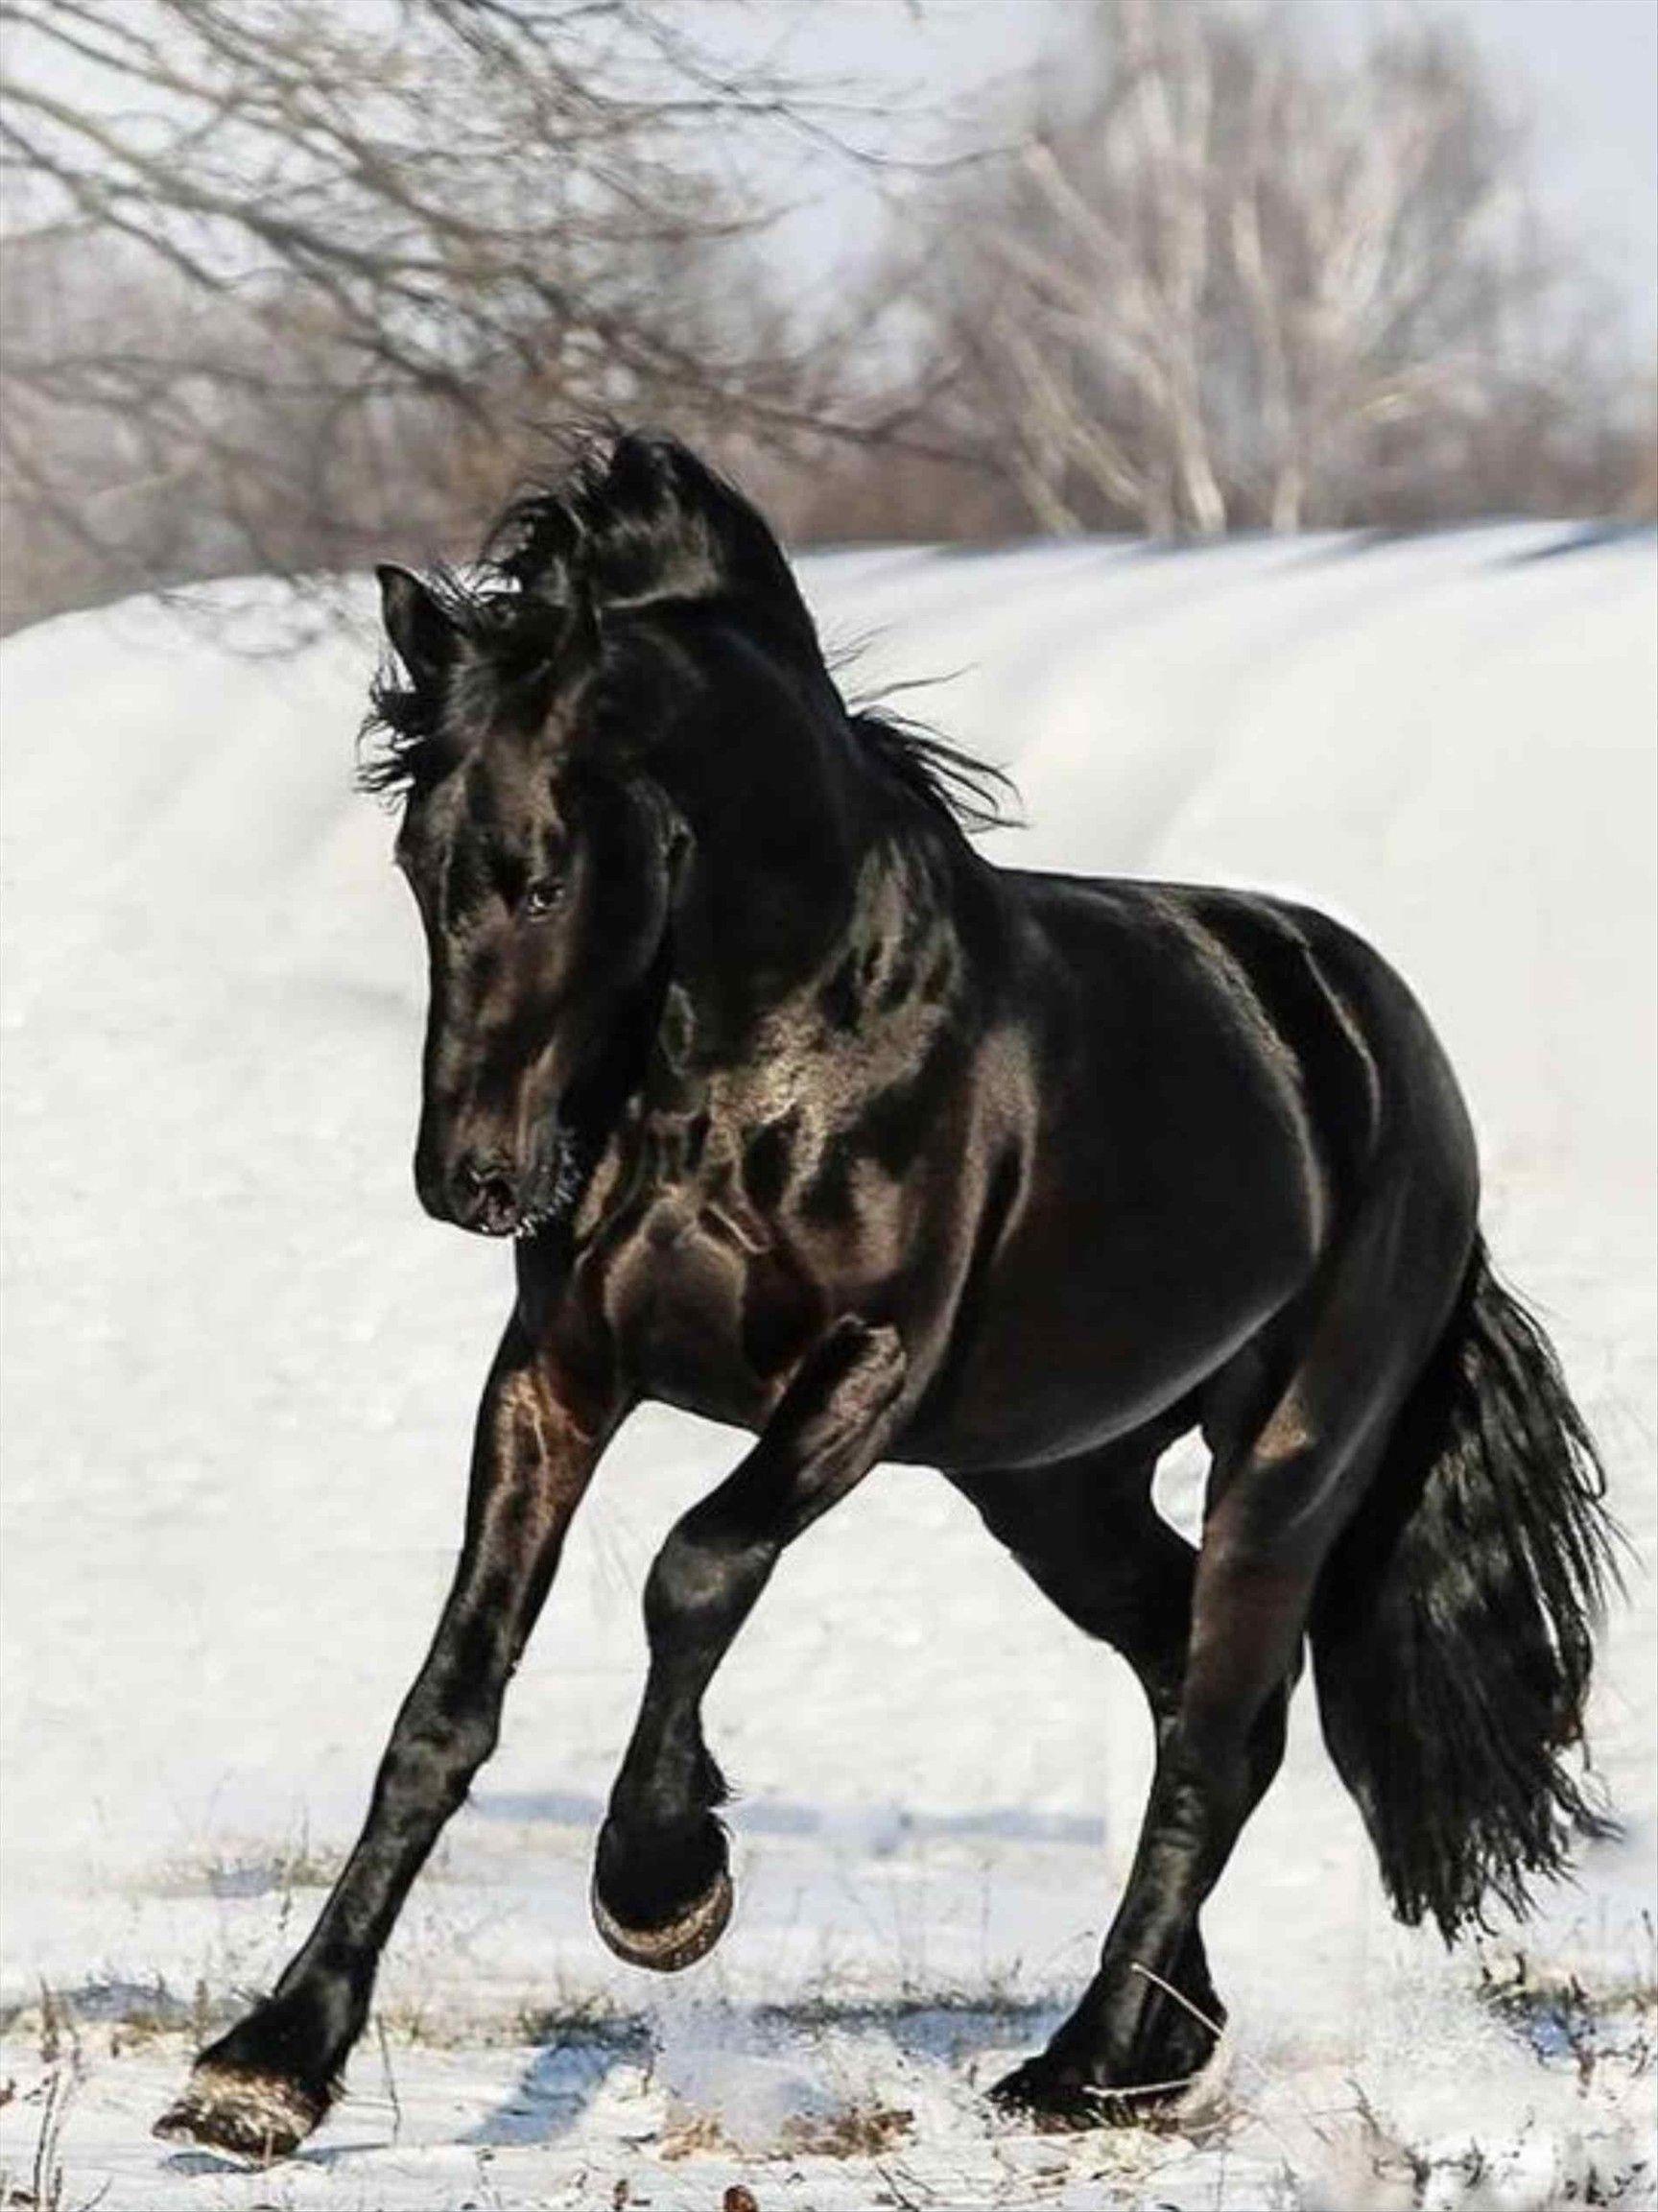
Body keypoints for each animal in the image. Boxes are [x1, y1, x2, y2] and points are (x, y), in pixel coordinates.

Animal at [157, 431, 1614, 2161]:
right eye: (413, 864)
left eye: (541, 879)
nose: (472, 1178)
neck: (774, 1037)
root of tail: (1363, 1026)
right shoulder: (555, 1372)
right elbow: (443, 1707)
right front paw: (266, 2064)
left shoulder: (863, 1373)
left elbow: (695, 1569)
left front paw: (664, 1888)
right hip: (1055, 1481)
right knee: (1191, 1690)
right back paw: (1153, 2049)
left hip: (1290, 1456)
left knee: (1213, 1732)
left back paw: (1077, 2065)